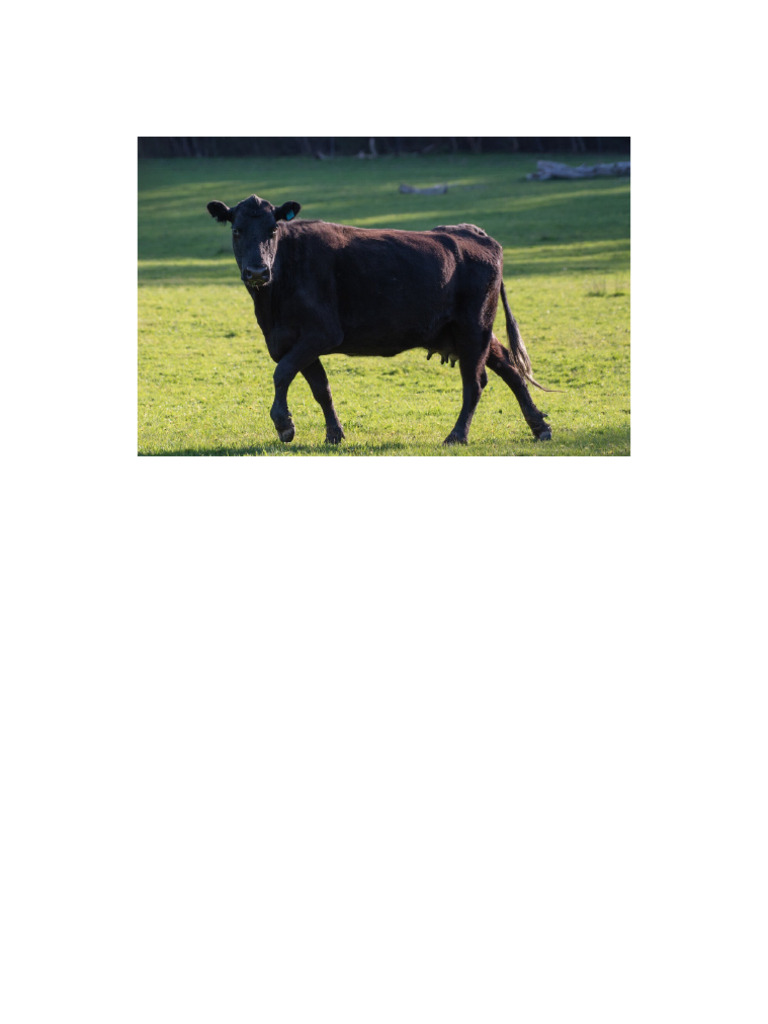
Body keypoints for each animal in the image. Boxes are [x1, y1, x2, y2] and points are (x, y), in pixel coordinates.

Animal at [207, 194, 552, 446]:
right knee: (509, 367)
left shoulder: (321, 334)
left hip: (473, 328)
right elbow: (321, 388)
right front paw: (334, 435)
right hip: (468, 332)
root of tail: (474, 233)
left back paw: (457, 436)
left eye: (273, 230)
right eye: (236, 230)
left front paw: (284, 424)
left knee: (476, 382)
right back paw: (539, 427)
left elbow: (282, 373)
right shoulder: (291, 341)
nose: (257, 271)